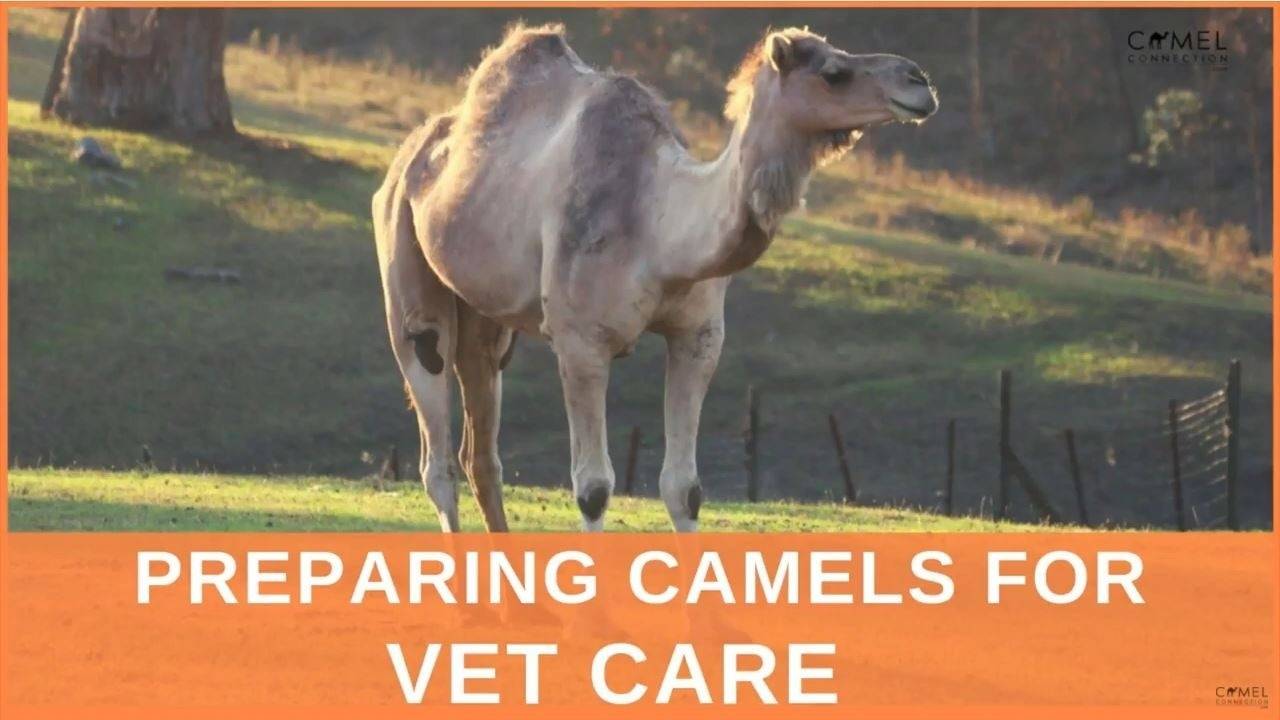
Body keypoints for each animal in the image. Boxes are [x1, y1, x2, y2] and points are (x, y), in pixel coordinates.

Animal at [372, 25, 937, 532]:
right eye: (833, 73)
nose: (919, 81)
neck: (660, 230)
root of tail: (413, 152)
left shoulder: (699, 336)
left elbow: (684, 489)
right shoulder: (580, 341)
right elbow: (594, 489)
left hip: (487, 319)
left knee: (481, 446)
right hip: (404, 264)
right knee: (437, 451)